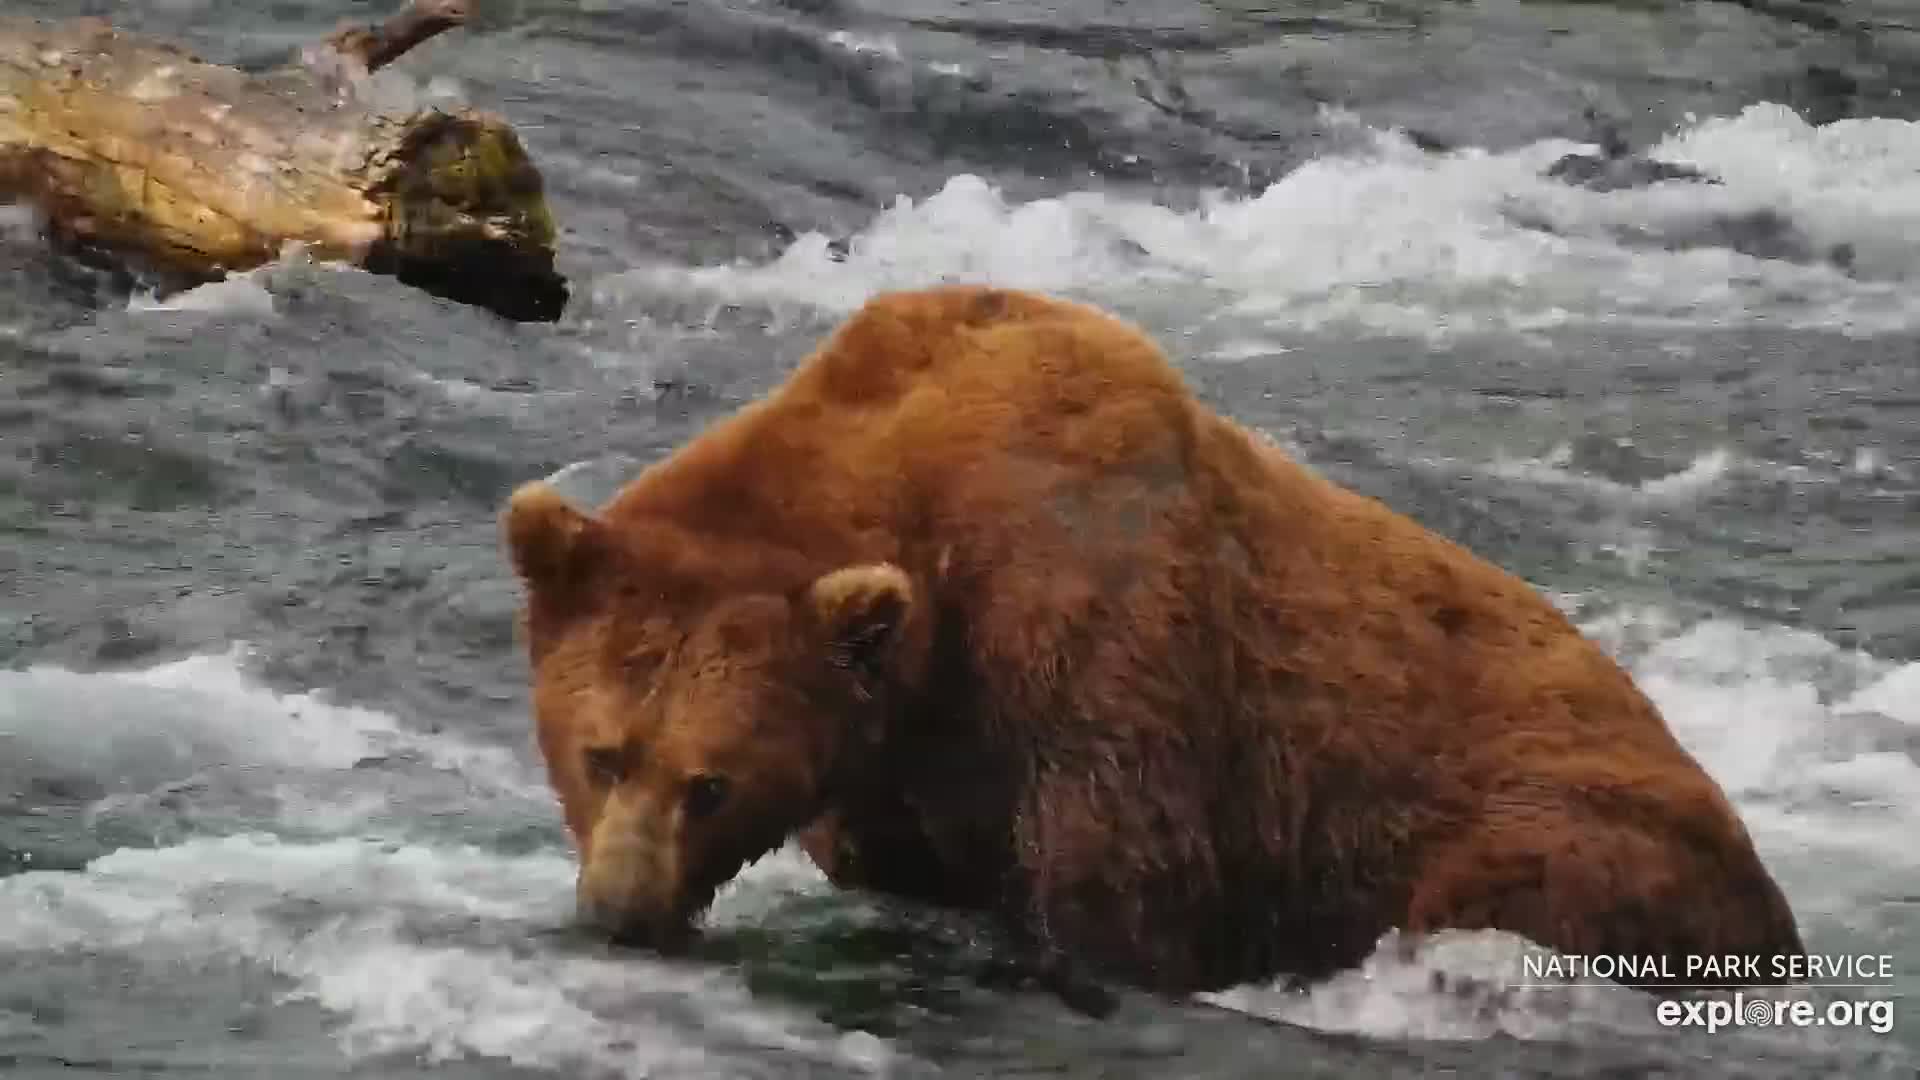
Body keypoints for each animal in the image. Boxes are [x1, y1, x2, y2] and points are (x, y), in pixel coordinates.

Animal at [502, 284, 1805, 1008]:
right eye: (604, 754)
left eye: (711, 780)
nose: (619, 911)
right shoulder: (897, 775)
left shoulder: (1098, 656)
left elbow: (1120, 893)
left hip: (1576, 832)